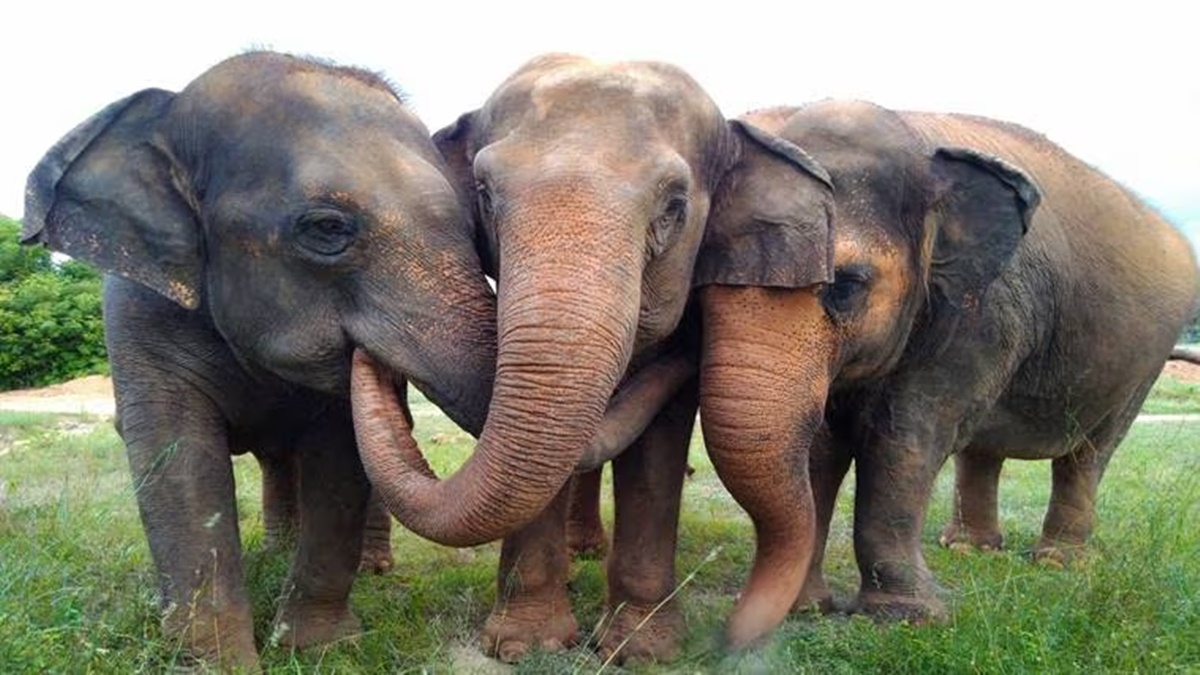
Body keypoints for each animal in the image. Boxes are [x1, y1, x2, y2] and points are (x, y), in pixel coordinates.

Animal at [21, 52, 500, 670]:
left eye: (472, 228)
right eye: (327, 228)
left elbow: (340, 459)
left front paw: (318, 647)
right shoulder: (136, 312)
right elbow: (176, 458)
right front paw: (218, 663)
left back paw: (365, 568)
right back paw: (271, 555)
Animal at [349, 53, 835, 663]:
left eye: (674, 207)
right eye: (483, 194)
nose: (367, 356)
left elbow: (655, 451)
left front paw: (642, 653)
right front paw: (525, 647)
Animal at [694, 99, 1199, 642]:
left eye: (845, 285)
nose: (729, 637)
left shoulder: (982, 314)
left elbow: (905, 438)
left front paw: (907, 617)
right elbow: (821, 445)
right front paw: (807, 610)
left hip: (1144, 361)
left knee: (1090, 452)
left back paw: (1058, 563)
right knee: (983, 450)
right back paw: (968, 549)